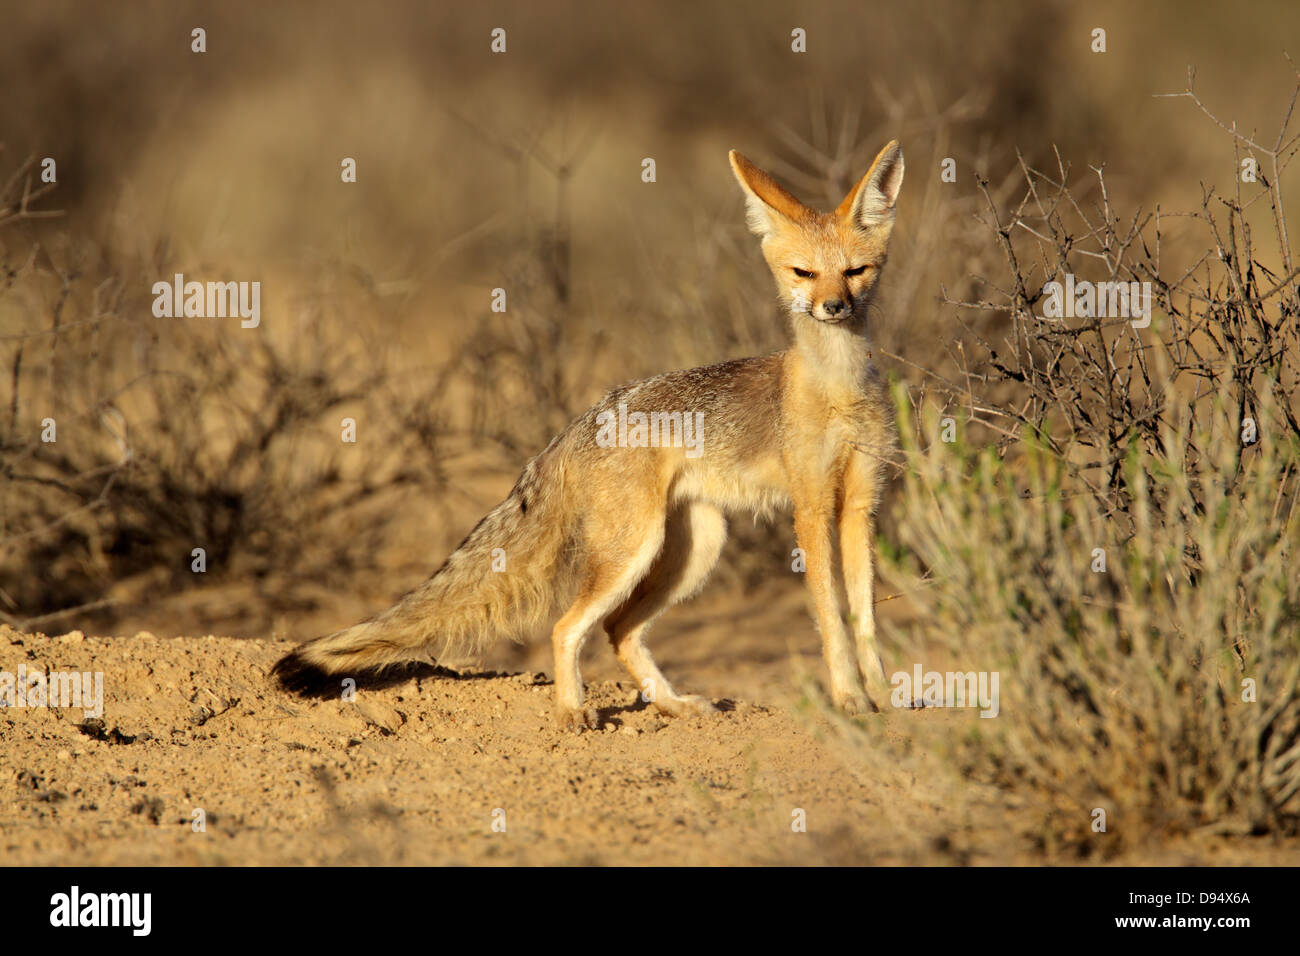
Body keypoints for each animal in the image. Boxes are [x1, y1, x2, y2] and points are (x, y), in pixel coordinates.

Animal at [273, 140, 905, 732]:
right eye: (804, 273)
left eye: (856, 271)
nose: (833, 305)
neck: (838, 387)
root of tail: (581, 420)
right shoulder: (812, 508)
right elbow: (832, 614)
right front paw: (850, 698)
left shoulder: (858, 506)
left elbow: (866, 615)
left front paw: (882, 695)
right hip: (637, 549)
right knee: (568, 625)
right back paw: (572, 710)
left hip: (695, 549)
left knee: (619, 630)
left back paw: (670, 704)